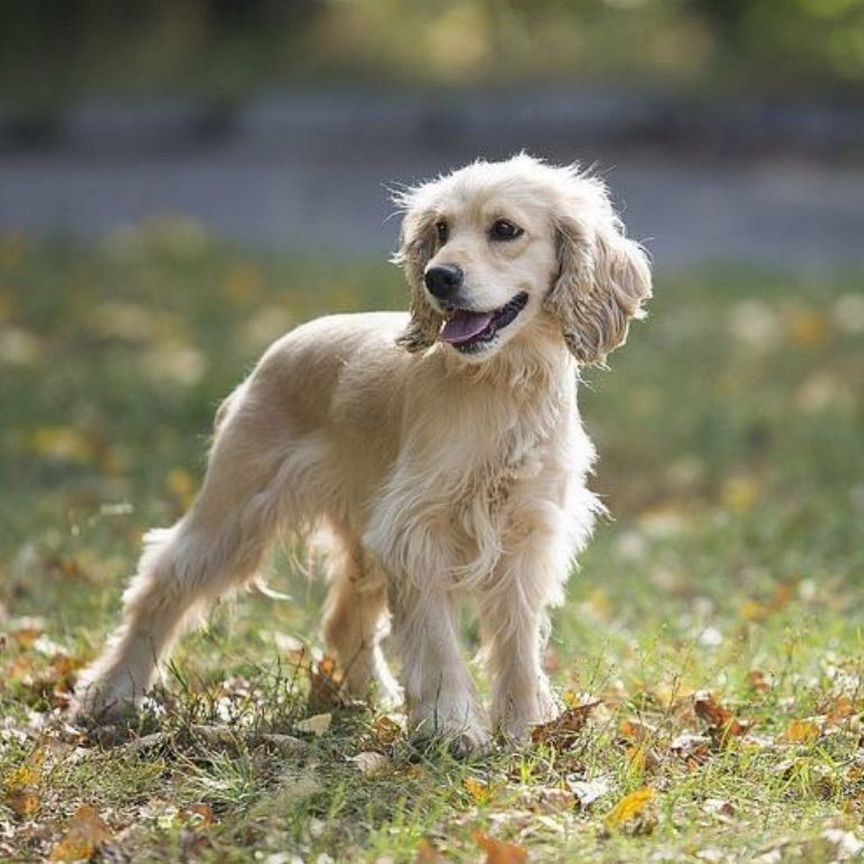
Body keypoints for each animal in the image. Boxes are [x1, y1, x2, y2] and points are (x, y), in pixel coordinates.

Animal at [77, 157, 652, 756]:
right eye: (441, 229)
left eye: (505, 230)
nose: (438, 277)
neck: (504, 385)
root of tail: (286, 340)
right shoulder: (417, 532)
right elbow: (438, 642)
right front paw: (452, 727)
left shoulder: (525, 533)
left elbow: (518, 643)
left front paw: (525, 728)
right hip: (233, 512)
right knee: (161, 581)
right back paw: (111, 693)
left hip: (357, 533)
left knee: (344, 619)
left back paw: (368, 696)